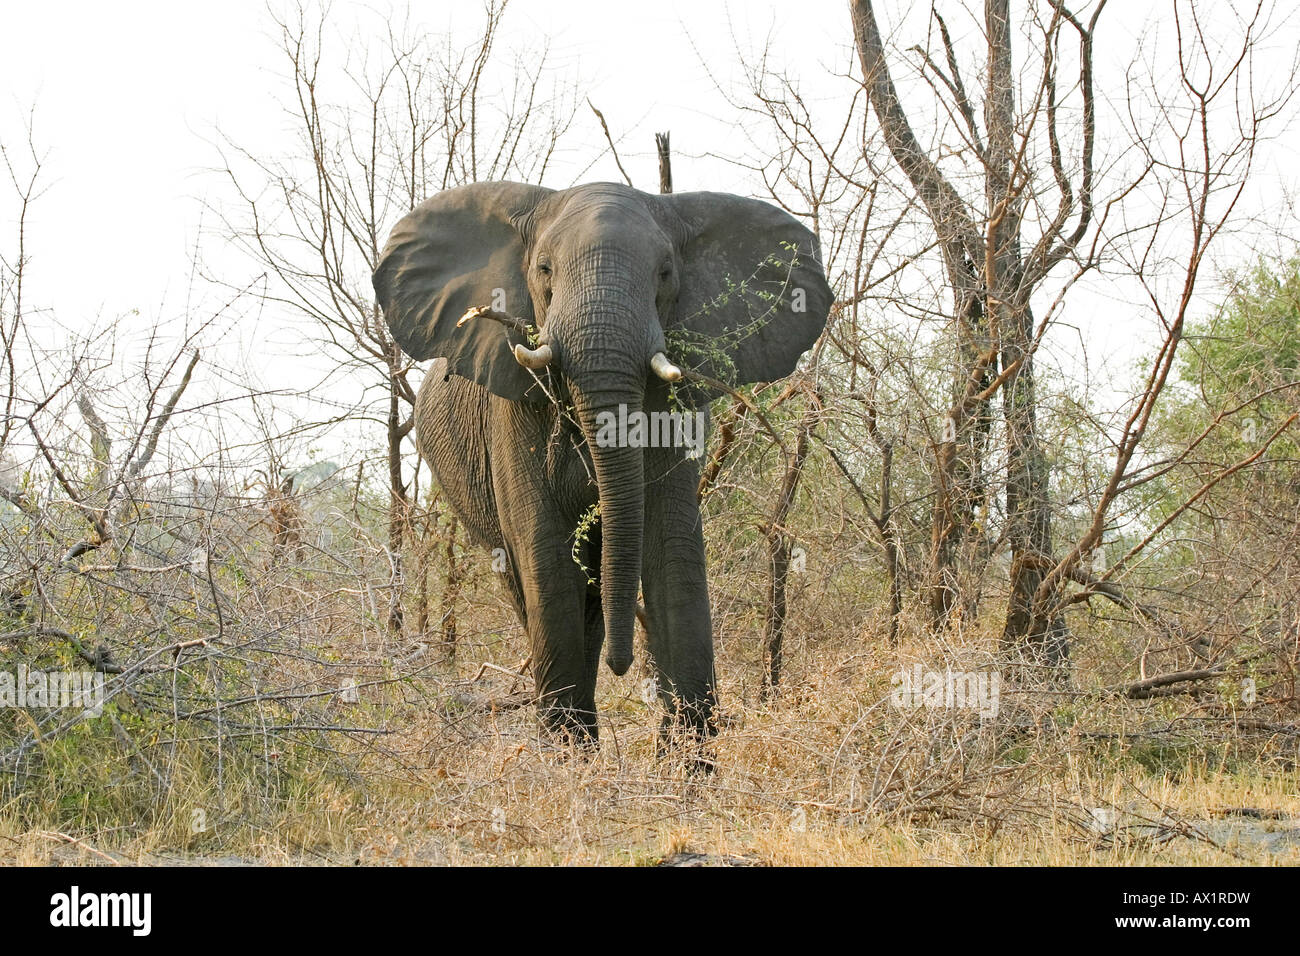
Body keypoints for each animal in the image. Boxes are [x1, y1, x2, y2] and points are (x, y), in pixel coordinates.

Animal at [373, 180, 831, 750]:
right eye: (544, 269)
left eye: (665, 272)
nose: (623, 664)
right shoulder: (512, 409)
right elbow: (546, 553)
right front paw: (568, 763)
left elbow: (671, 546)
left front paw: (686, 763)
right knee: (528, 581)